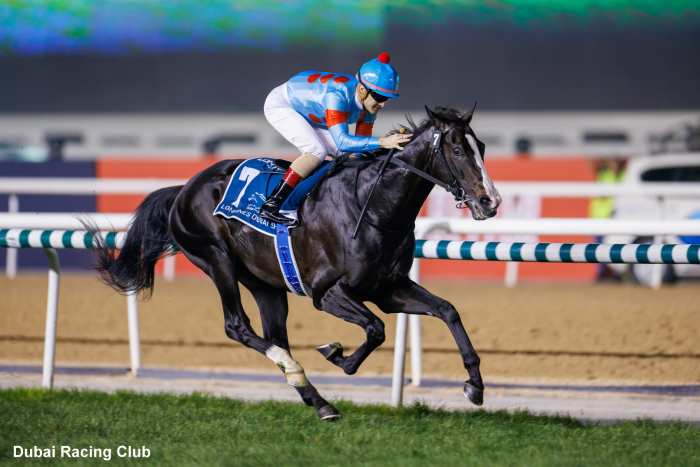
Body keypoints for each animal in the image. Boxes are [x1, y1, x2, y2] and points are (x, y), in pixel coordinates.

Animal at [93, 105, 501, 420]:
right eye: (457, 149)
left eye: (480, 146)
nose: (490, 201)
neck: (374, 207)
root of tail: (184, 188)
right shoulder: (328, 293)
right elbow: (375, 329)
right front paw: (337, 355)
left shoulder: (388, 288)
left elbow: (446, 310)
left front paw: (474, 384)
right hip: (216, 259)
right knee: (237, 326)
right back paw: (295, 372)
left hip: (265, 282)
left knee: (276, 335)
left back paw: (318, 400)